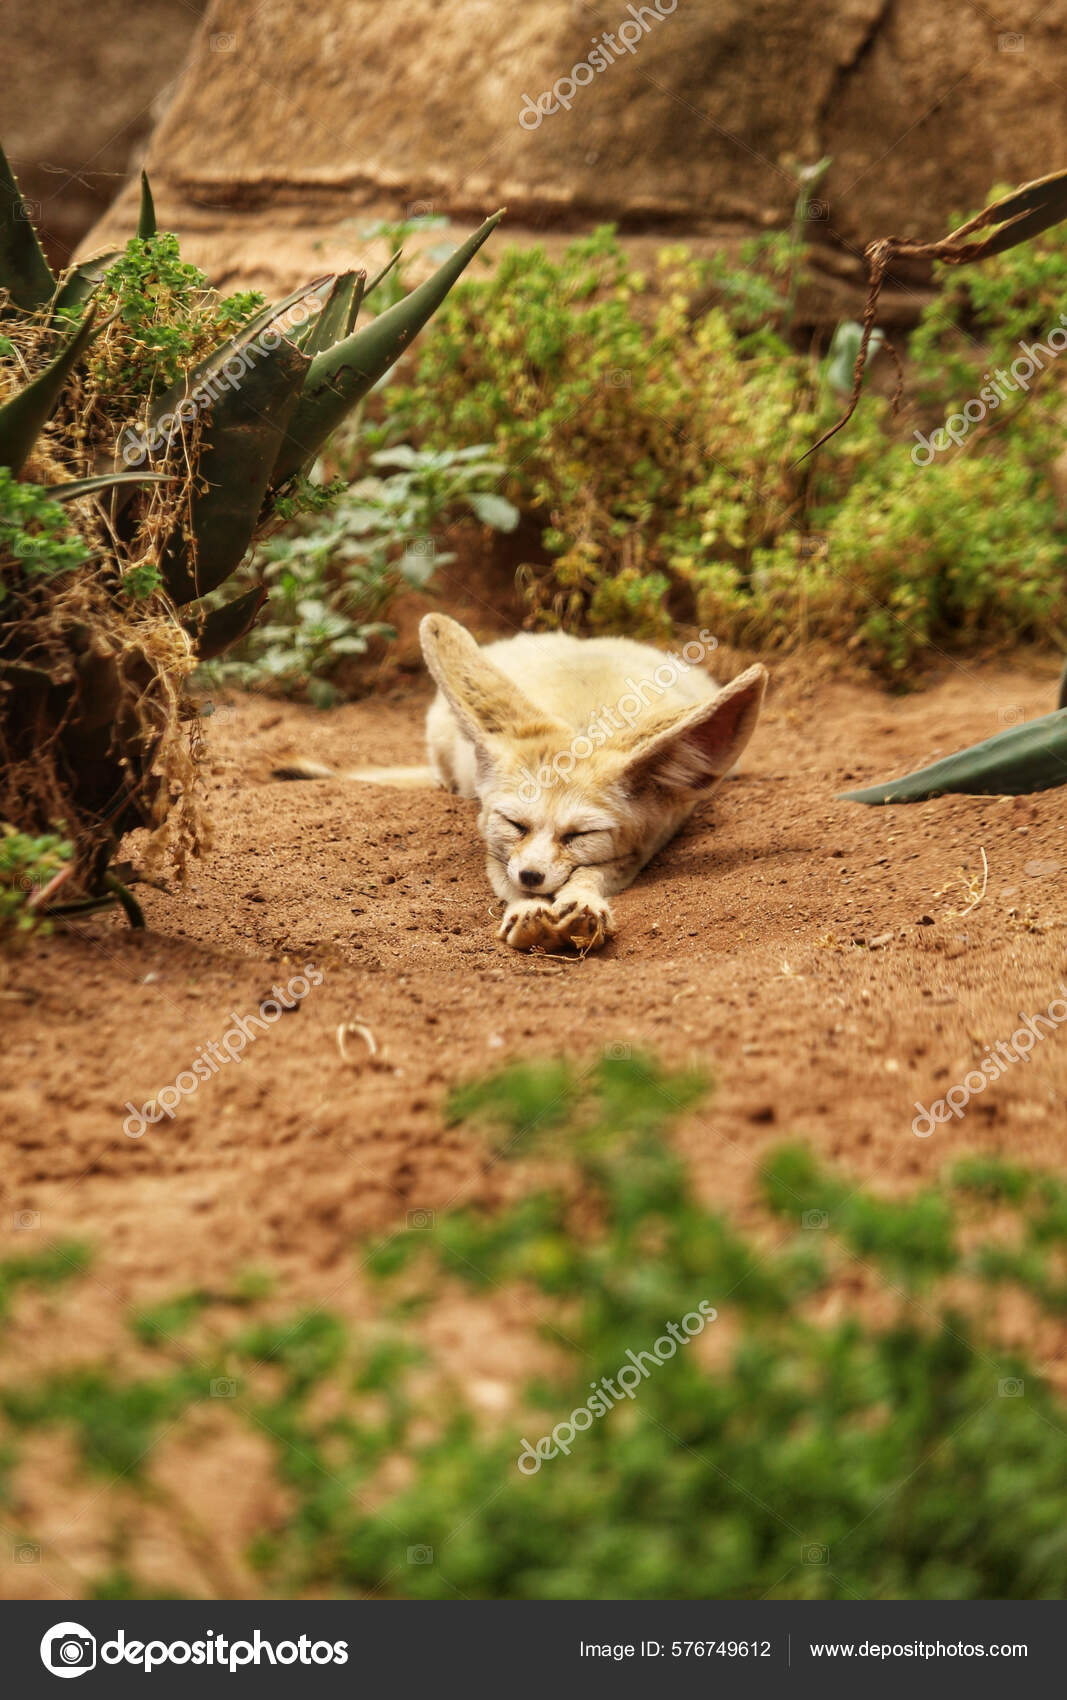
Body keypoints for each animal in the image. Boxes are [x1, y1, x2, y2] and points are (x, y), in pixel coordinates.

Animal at [276, 613, 767, 953]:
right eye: (515, 824)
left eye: (580, 834)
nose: (532, 875)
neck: (586, 719)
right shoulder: (497, 850)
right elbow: (507, 885)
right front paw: (529, 913)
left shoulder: (643, 847)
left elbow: (589, 874)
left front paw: (581, 905)